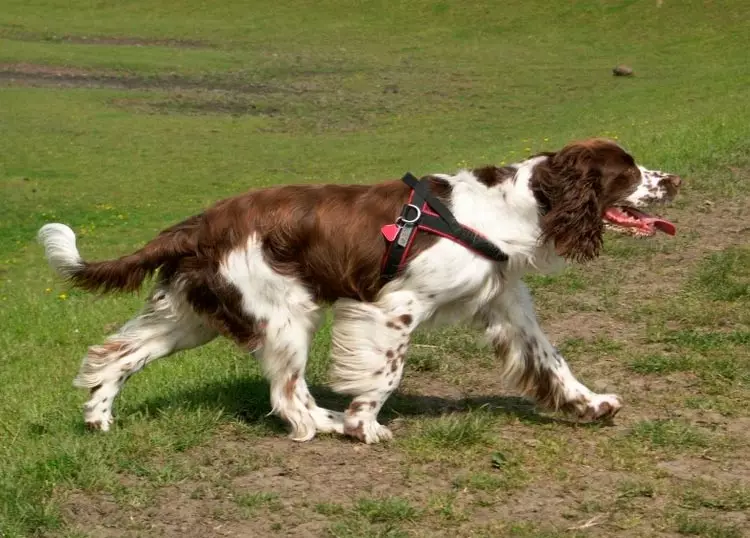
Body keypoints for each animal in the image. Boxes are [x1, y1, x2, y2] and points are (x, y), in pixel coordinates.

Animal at [42, 136, 688, 442]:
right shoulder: (394, 306)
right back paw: (328, 424)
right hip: (286, 314)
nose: (676, 180)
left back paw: (99, 418)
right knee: (289, 396)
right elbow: (386, 373)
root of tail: (203, 222)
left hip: (194, 315)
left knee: (117, 355)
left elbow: (553, 363)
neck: (512, 209)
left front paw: (592, 405)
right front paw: (364, 424)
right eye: (630, 172)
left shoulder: (508, 307)